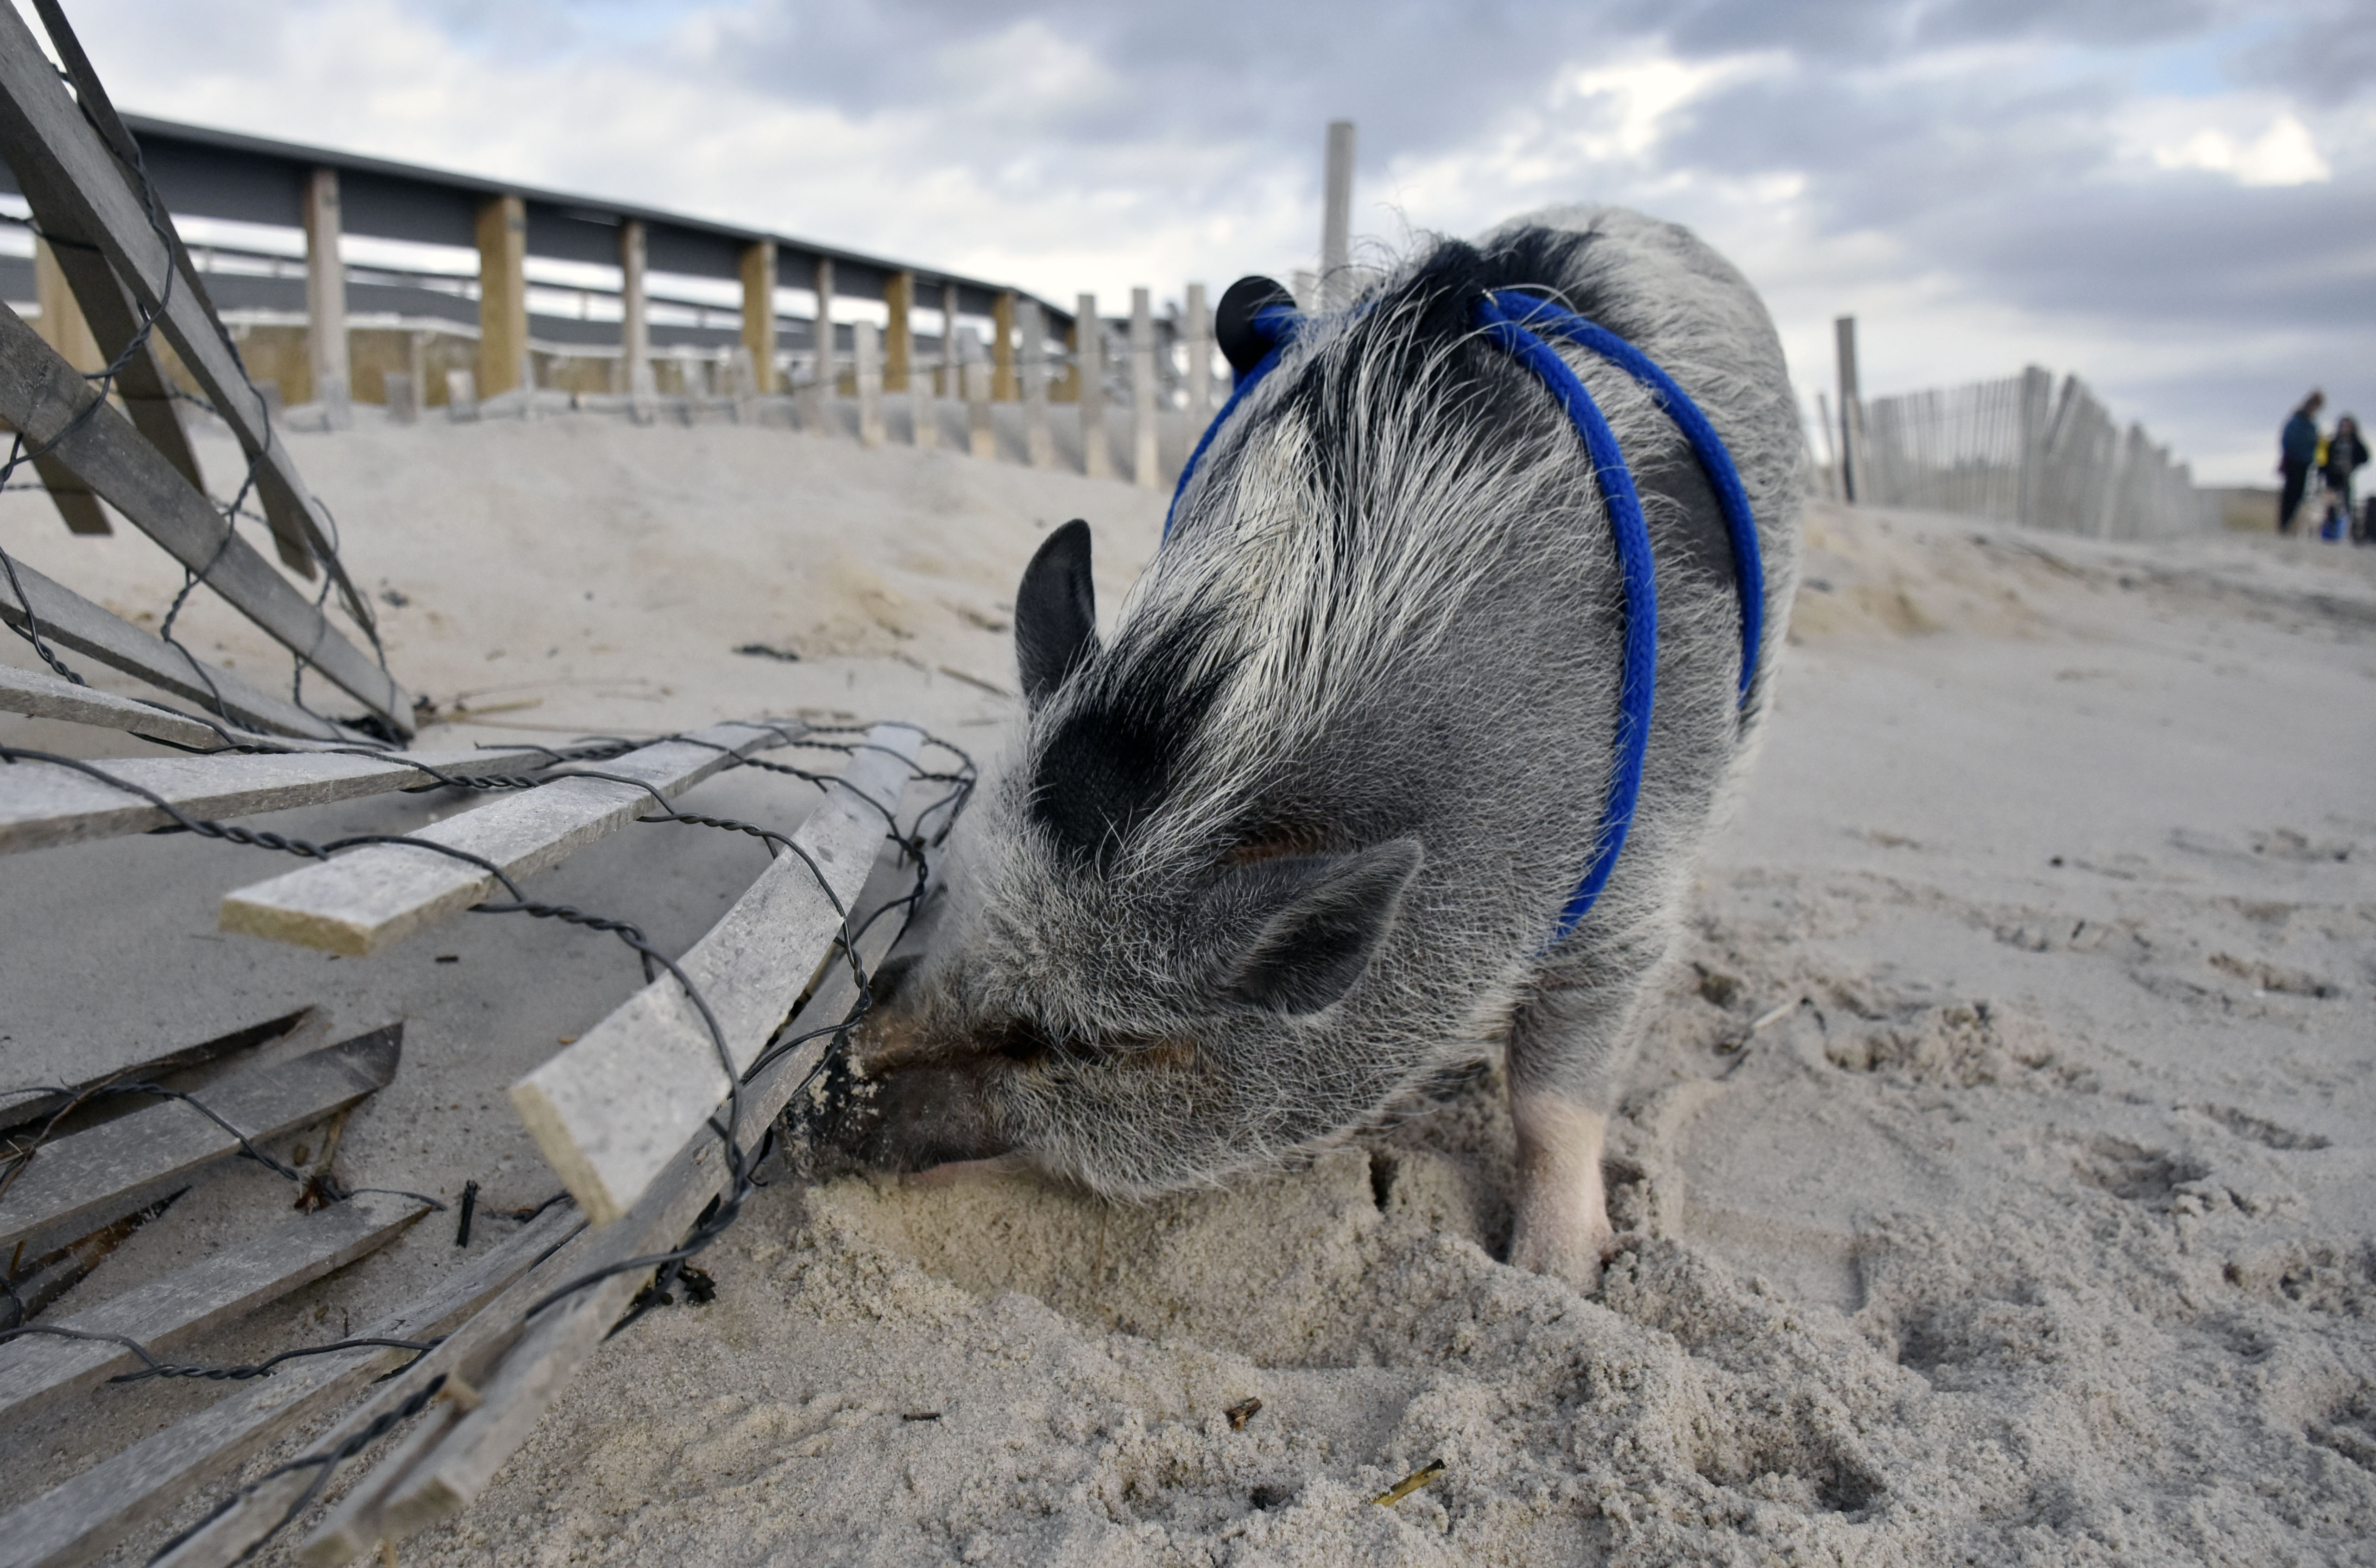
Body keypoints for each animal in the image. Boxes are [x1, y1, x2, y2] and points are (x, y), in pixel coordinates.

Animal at [808, 204, 1803, 1286]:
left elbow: (1555, 1096)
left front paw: (1555, 1276)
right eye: (944, 904)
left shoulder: (1630, 892)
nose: (818, 1101)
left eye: (1073, 1045)